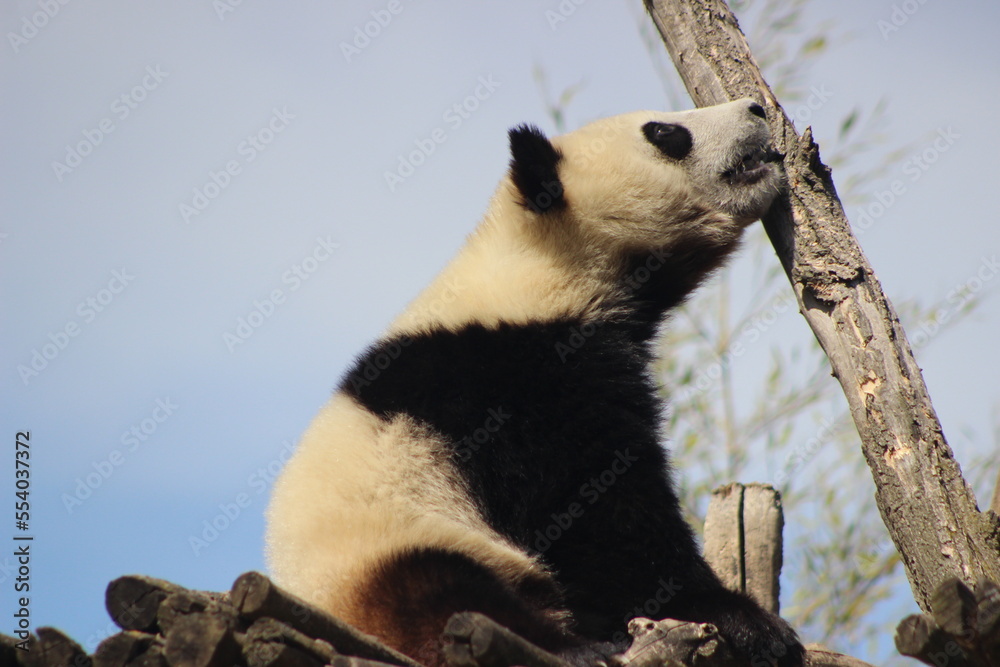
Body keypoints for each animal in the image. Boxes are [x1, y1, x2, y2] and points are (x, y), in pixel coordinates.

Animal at [265, 98, 804, 667]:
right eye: (664, 132)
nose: (756, 107)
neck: (539, 265)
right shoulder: (513, 382)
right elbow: (598, 510)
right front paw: (743, 619)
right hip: (391, 542)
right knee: (442, 593)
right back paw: (581, 646)